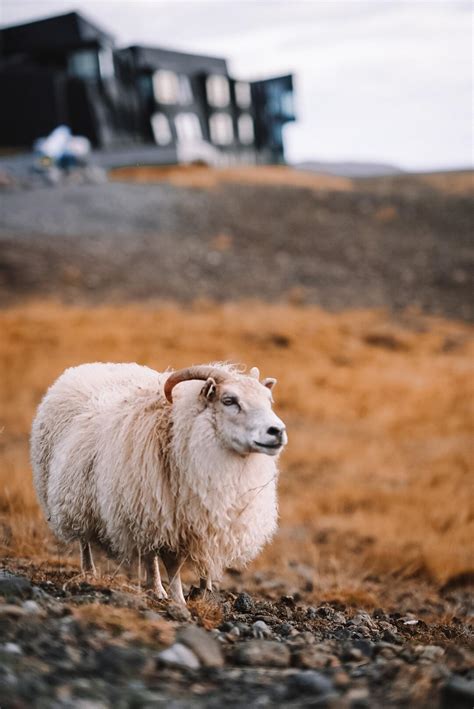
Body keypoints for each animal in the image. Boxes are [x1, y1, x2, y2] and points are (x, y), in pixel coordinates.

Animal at [30, 362, 287, 603]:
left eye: (268, 400)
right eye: (229, 400)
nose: (277, 431)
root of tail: (87, 367)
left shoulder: (204, 520)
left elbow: (203, 561)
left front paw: (204, 591)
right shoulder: (161, 515)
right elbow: (172, 565)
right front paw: (177, 598)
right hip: (86, 497)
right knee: (86, 541)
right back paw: (92, 573)